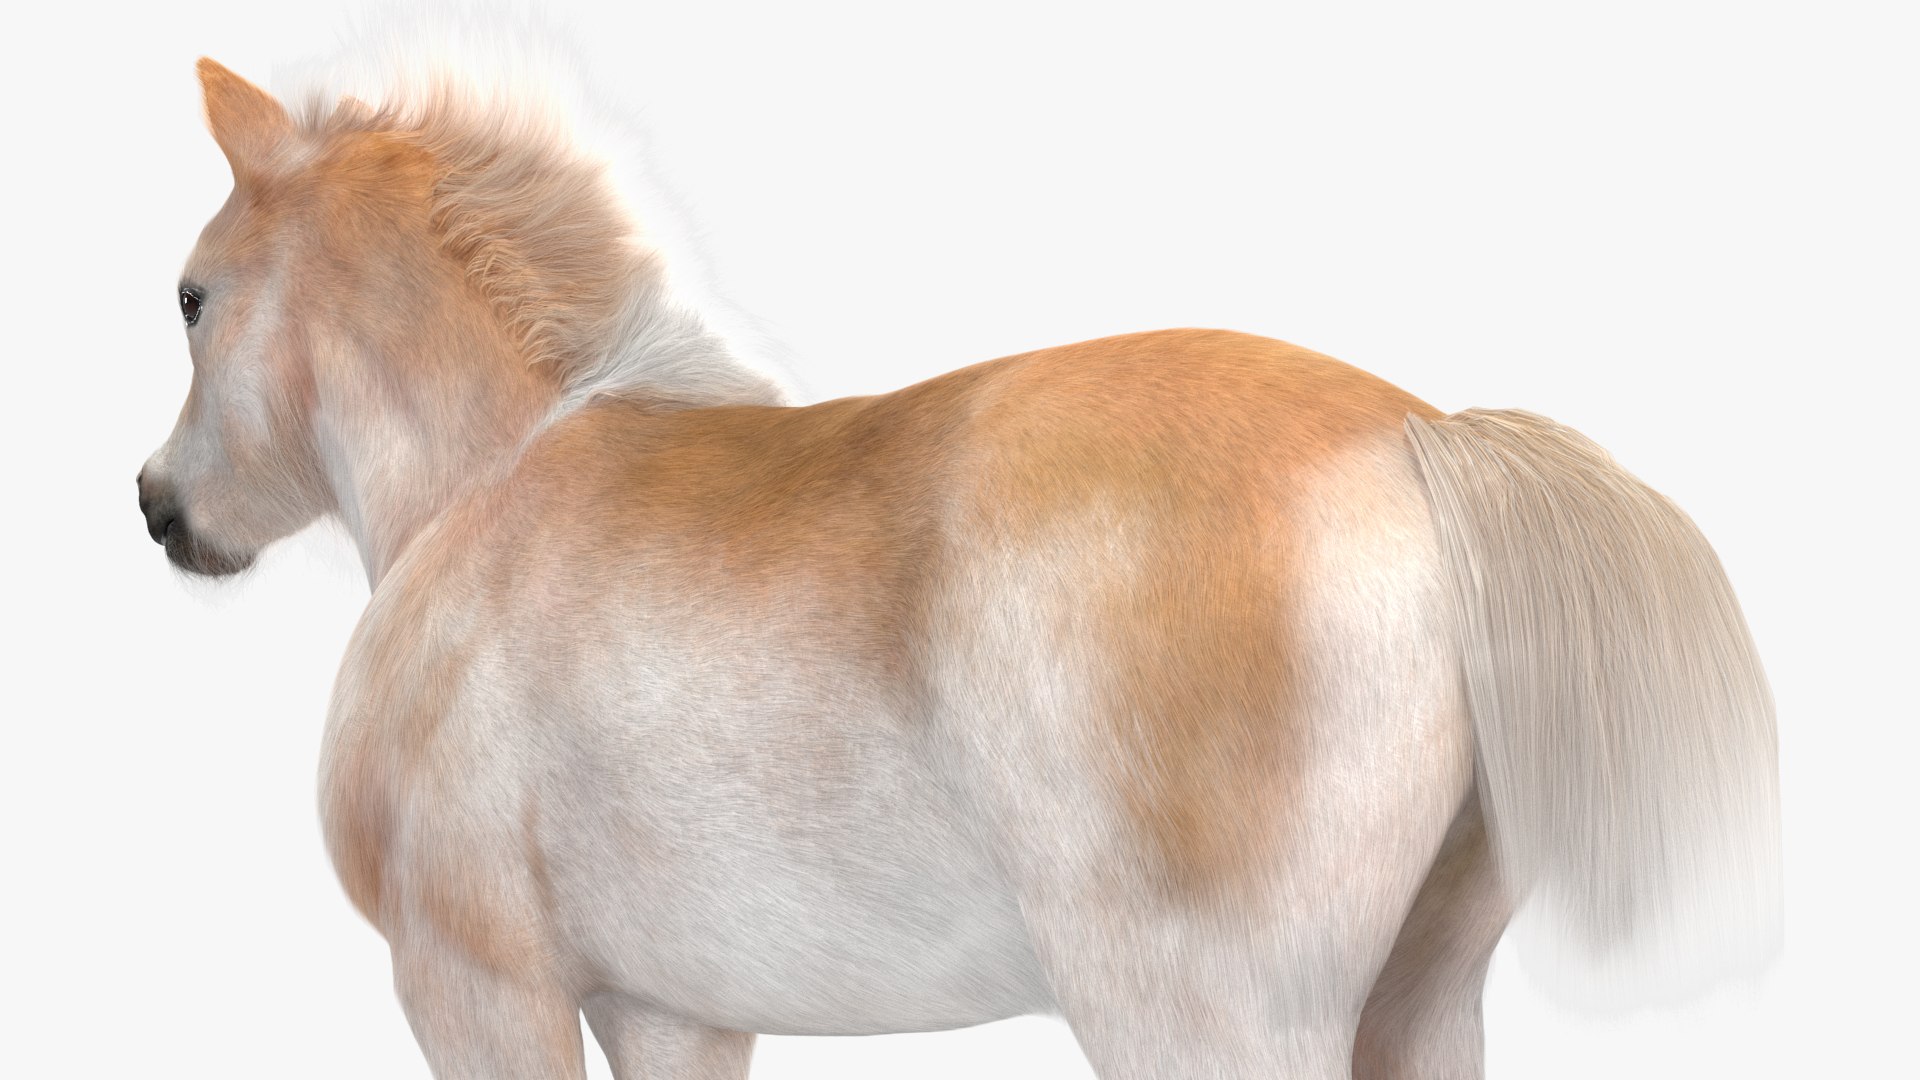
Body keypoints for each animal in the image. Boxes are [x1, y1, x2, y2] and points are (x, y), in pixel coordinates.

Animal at [137, 53, 1781, 1080]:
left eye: (193, 297)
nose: (161, 511)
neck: (494, 488)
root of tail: (1420, 438)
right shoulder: (674, 1013)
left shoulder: (477, 989)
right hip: (1424, 1002)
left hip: (1208, 1022)